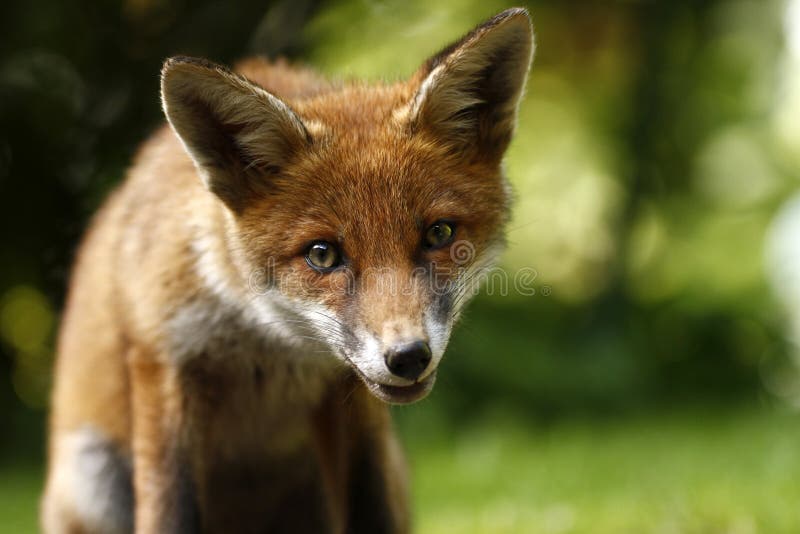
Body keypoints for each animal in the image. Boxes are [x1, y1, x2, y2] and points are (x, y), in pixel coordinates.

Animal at [41, 7, 534, 534]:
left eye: (439, 234)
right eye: (322, 254)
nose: (407, 357)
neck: (270, 342)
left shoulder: (351, 400)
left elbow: (371, 509)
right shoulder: (165, 364)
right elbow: (169, 512)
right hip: (93, 472)